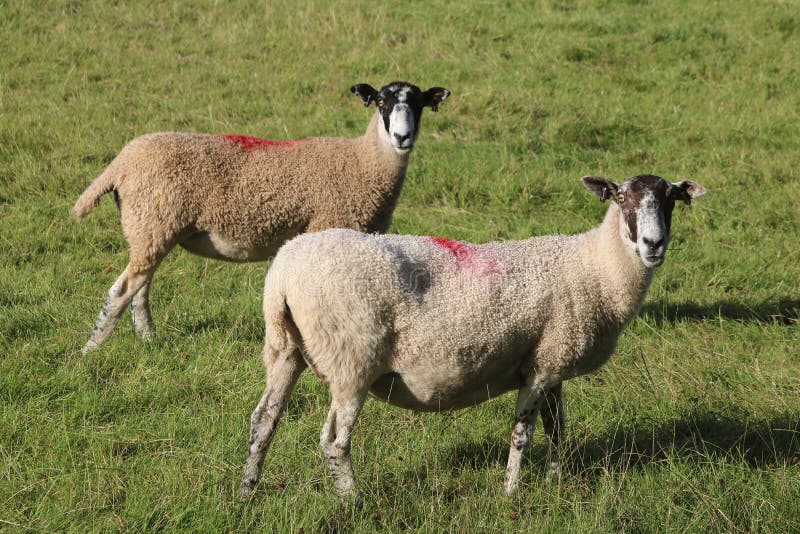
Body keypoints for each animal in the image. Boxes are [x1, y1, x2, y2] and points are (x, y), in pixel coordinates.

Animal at [70, 81, 450, 353]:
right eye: (382, 102)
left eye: (418, 105)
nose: (402, 136)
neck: (363, 161)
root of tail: (121, 162)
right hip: (153, 220)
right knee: (122, 289)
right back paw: (91, 349)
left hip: (150, 227)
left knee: (140, 287)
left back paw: (148, 339)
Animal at [240, 174, 707, 501]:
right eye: (621, 198)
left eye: (671, 200)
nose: (653, 243)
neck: (594, 268)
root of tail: (283, 272)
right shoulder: (538, 369)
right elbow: (523, 433)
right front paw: (511, 492)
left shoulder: (554, 358)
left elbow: (557, 429)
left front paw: (555, 482)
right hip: (352, 358)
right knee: (334, 441)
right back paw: (354, 500)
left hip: (287, 351)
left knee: (264, 420)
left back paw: (247, 490)